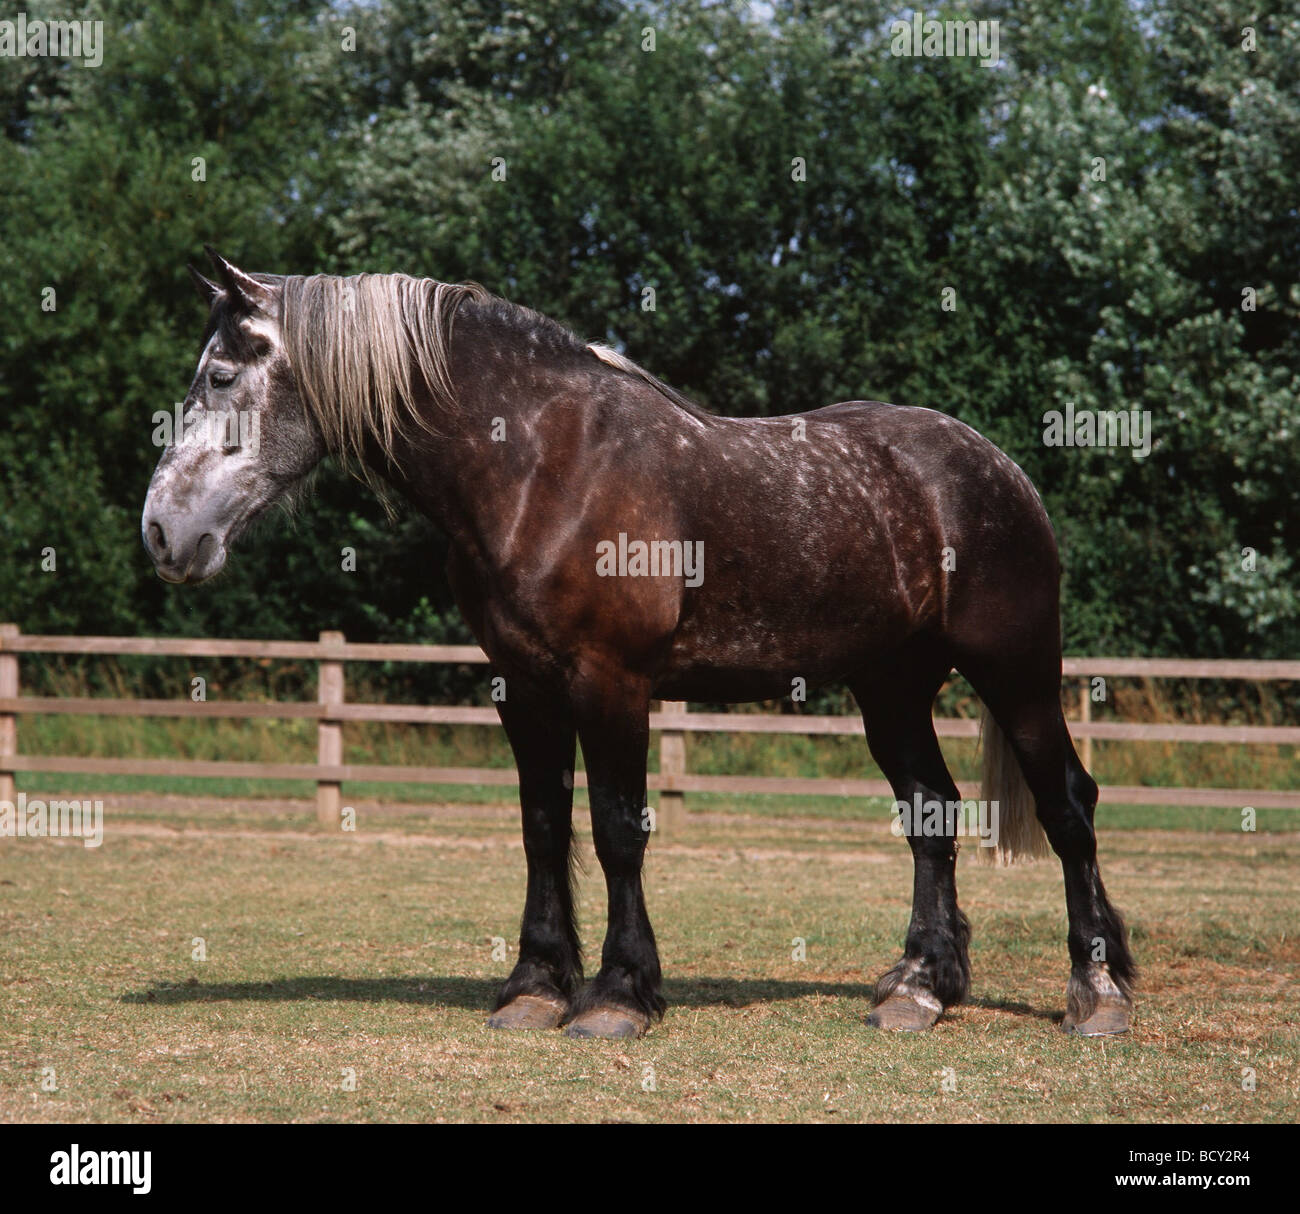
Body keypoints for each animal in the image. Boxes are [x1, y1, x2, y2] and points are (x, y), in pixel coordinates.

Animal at [141, 248, 1135, 1039]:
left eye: (220, 377)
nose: (161, 533)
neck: (542, 465)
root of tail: (997, 468)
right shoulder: (525, 687)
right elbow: (544, 828)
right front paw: (535, 988)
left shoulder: (609, 682)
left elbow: (618, 829)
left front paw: (619, 995)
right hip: (890, 687)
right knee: (932, 812)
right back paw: (920, 989)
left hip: (1016, 672)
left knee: (1068, 804)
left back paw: (1098, 993)